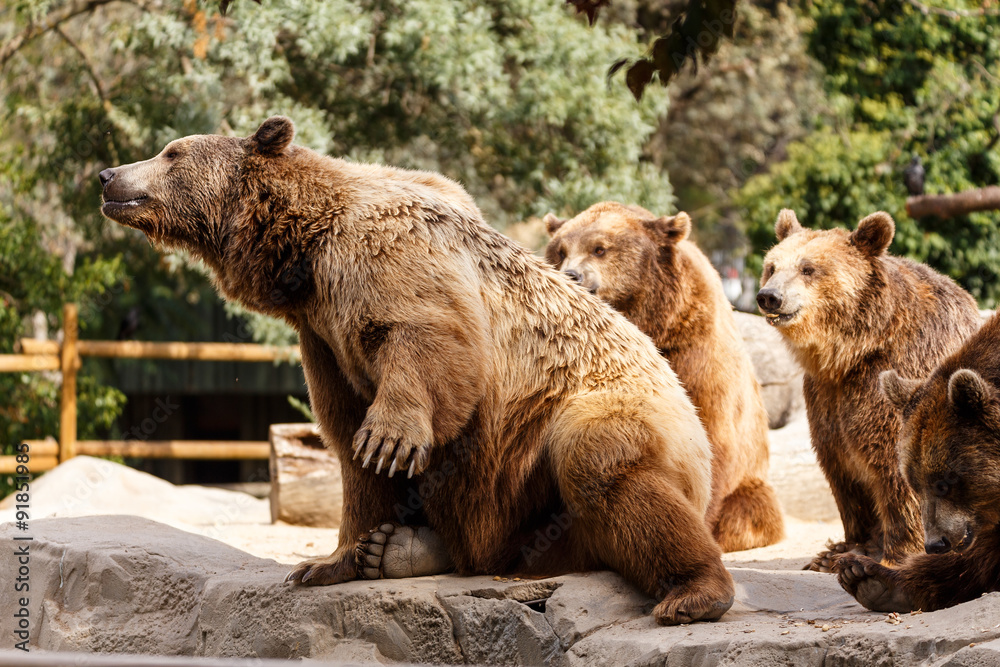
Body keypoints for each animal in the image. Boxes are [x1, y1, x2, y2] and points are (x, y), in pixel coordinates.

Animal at [98, 116, 736, 625]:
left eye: (172, 152)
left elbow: (428, 341)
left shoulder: (390, 258)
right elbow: (348, 446)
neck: (304, 255)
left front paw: (389, 439)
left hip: (591, 411)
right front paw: (329, 561)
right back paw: (400, 549)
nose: (108, 175)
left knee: (606, 468)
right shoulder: (322, 338)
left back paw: (694, 592)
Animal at [543, 201, 784, 552]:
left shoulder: (695, 352)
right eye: (560, 250)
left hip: (751, 486)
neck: (649, 318)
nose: (571, 273)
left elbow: (708, 435)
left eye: (600, 248)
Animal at [756, 209, 981, 571]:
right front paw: (845, 551)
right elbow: (843, 471)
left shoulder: (900, 375)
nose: (769, 296)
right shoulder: (828, 397)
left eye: (808, 268)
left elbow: (899, 469)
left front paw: (892, 556)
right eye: (772, 266)